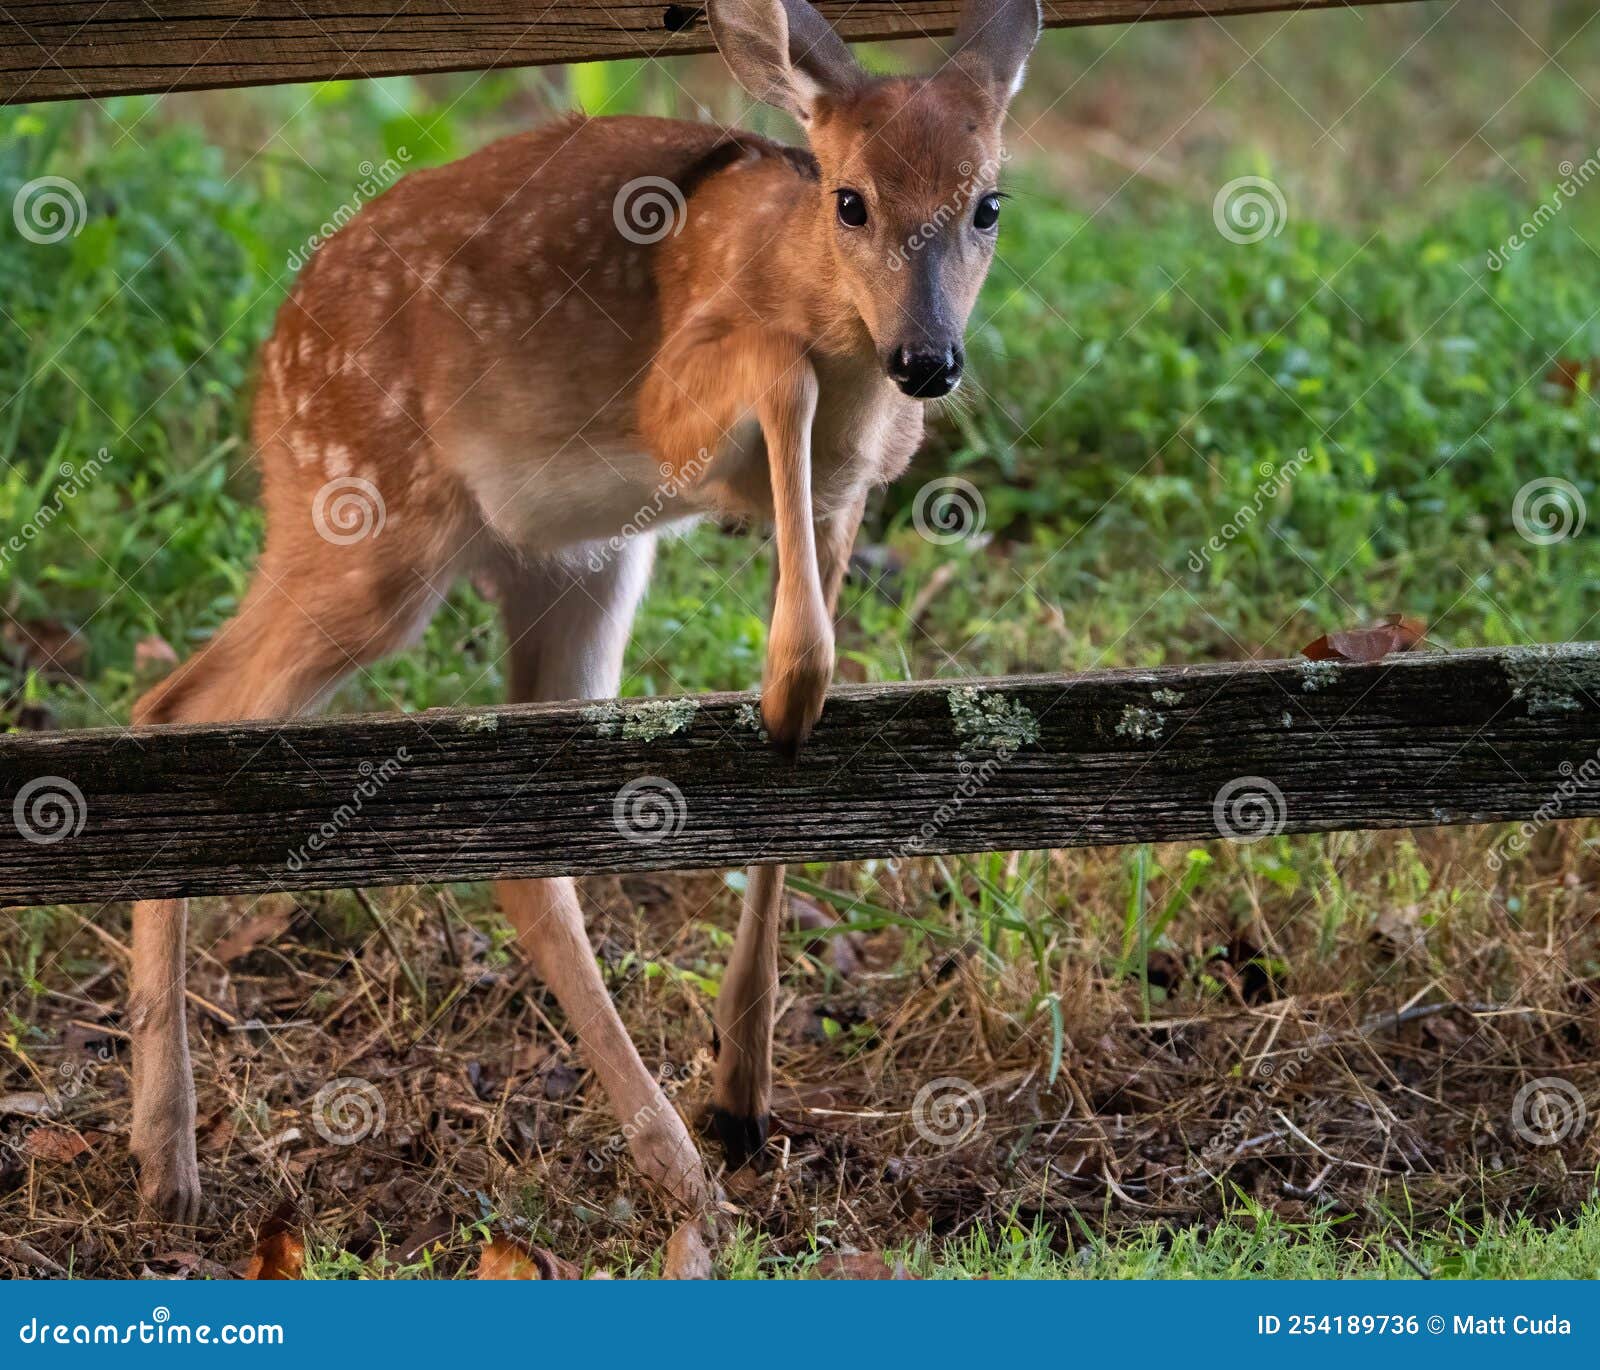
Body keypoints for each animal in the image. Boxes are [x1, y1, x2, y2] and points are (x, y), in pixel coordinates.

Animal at [124, 0, 1040, 1274]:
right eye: (850, 199)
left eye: (988, 203)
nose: (929, 358)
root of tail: (267, 363)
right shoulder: (676, 400)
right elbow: (780, 375)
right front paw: (793, 681)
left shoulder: (846, 494)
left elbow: (793, 794)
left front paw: (743, 1081)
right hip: (360, 523)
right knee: (172, 708)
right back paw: (168, 1161)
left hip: (580, 564)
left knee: (522, 848)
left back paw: (682, 1166)